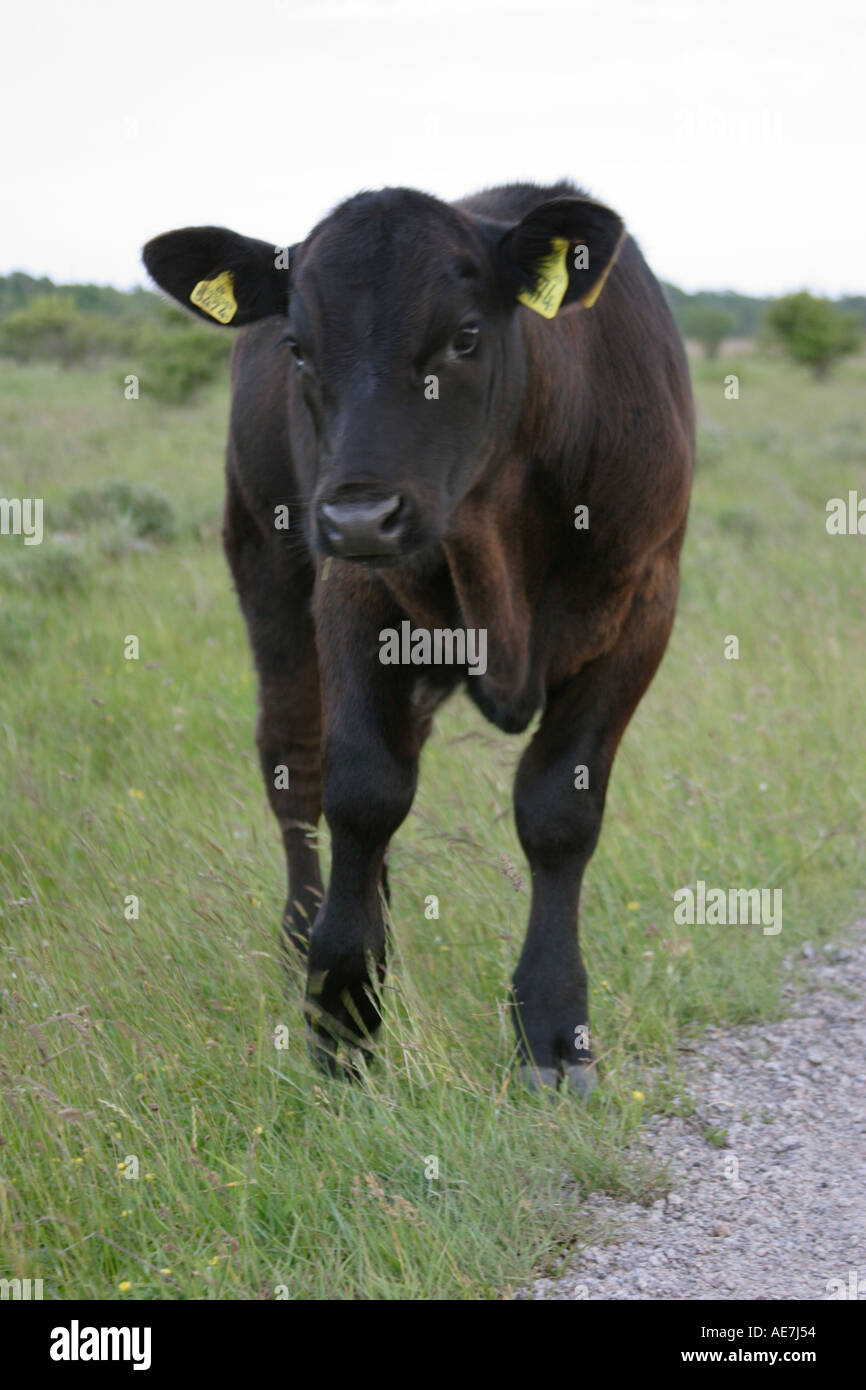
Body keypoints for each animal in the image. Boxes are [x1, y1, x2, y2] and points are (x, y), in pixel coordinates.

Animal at [143, 180, 694, 1093]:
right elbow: (365, 789)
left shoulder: (645, 608)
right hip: (265, 562)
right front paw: (342, 1005)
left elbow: (560, 808)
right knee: (294, 760)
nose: (361, 515)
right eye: (298, 347)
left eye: (465, 335)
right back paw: (306, 927)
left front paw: (553, 1025)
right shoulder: (353, 593)